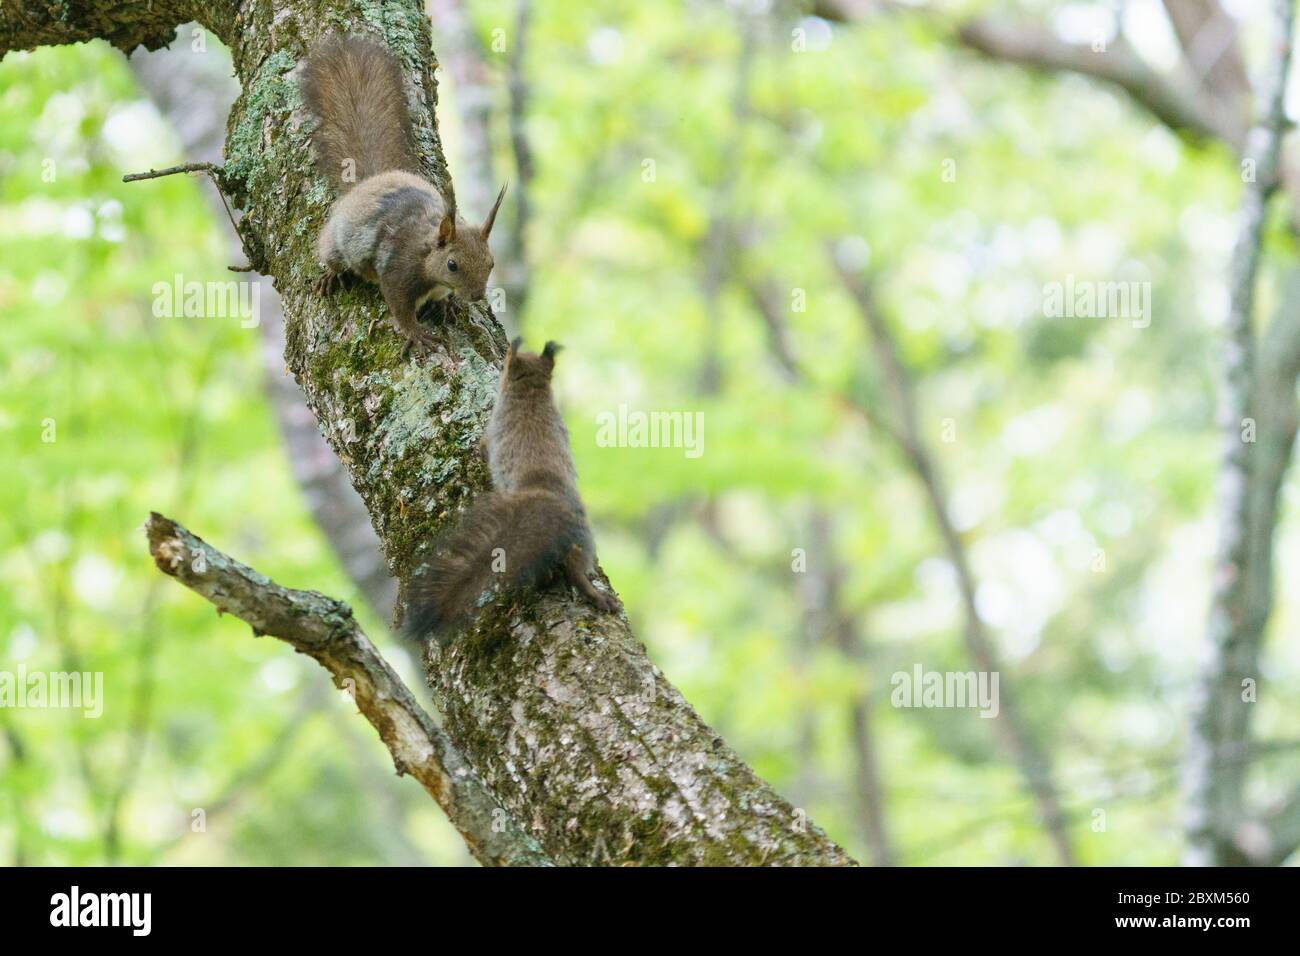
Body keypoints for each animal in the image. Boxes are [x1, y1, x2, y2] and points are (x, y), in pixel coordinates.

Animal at [301, 36, 507, 353]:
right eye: (452, 264)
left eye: (491, 262)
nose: (476, 296)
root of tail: (371, 181)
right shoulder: (398, 273)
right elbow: (399, 307)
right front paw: (416, 333)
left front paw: (447, 305)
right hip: (337, 242)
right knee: (332, 255)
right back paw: (332, 274)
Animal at [402, 339, 619, 645]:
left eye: (506, 359)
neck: (531, 392)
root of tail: (539, 496)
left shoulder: (494, 429)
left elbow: (483, 445)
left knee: (575, 572)